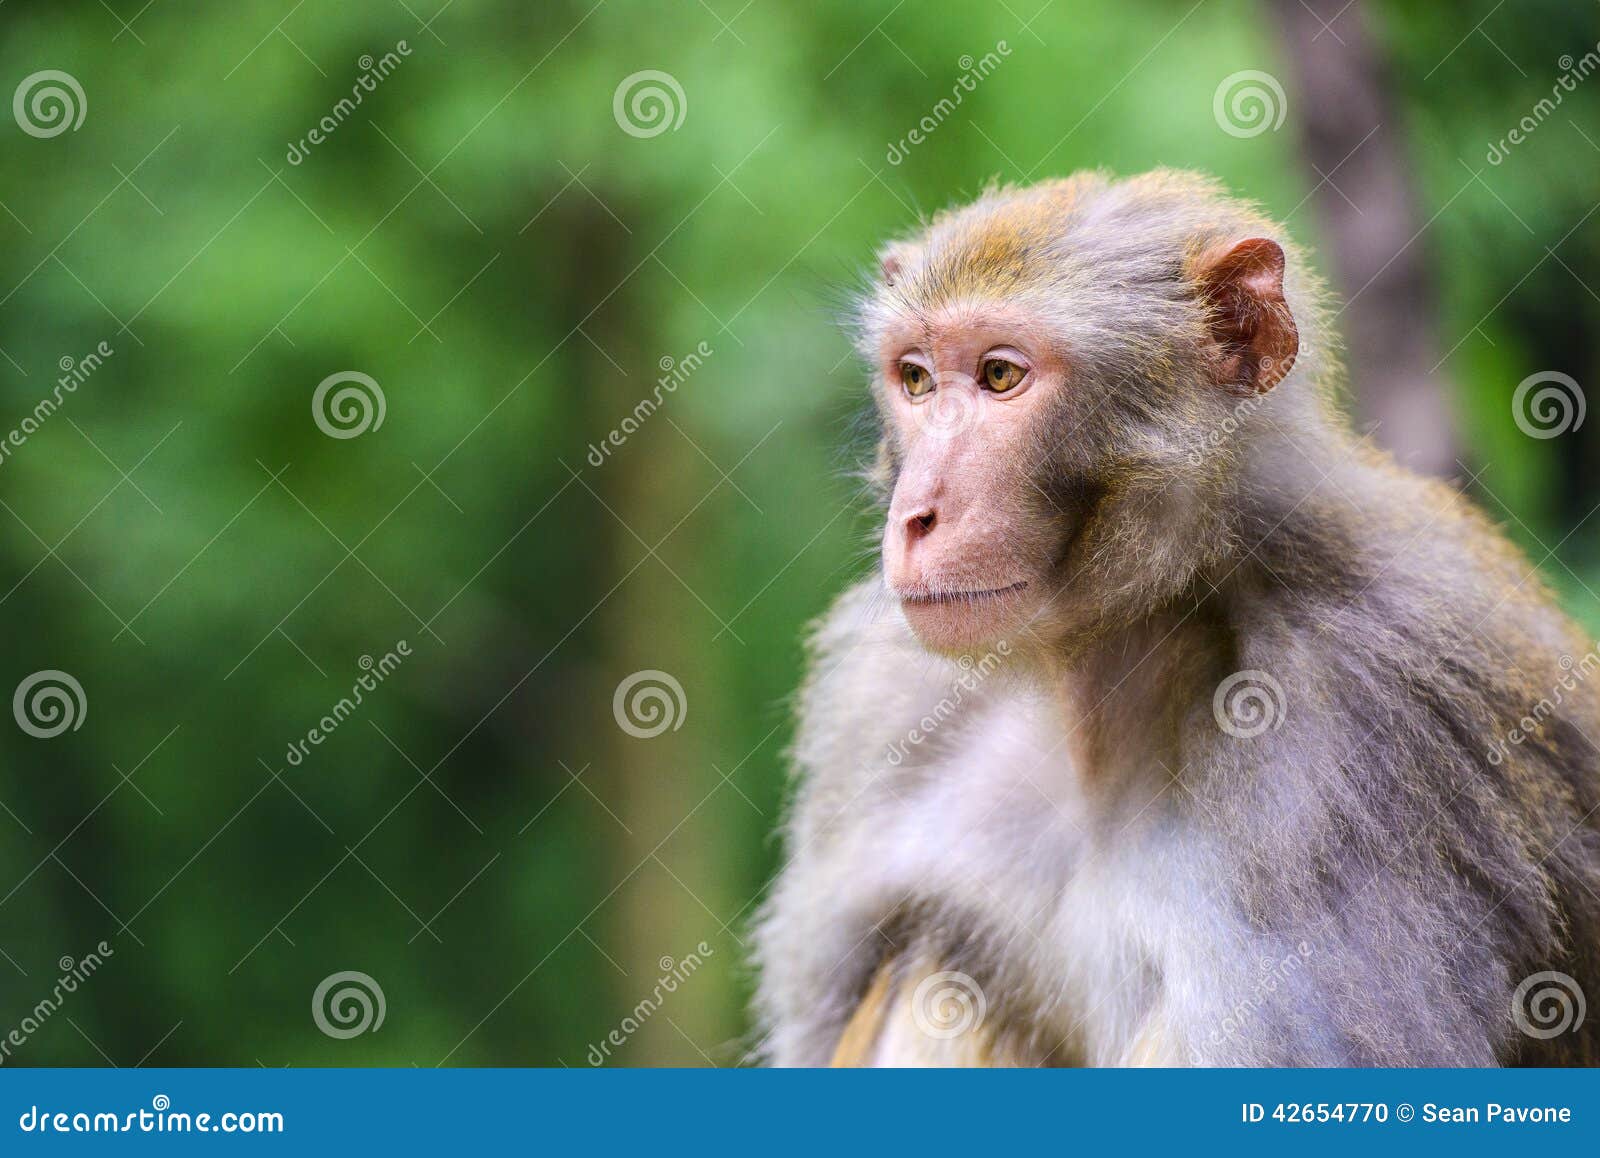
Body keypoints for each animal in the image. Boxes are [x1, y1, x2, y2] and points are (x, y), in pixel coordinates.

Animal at [751, 170, 1600, 1067]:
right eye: (915, 380)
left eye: (1001, 376)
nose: (916, 516)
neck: (1105, 656)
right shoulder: (878, 694)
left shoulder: (1361, 733)